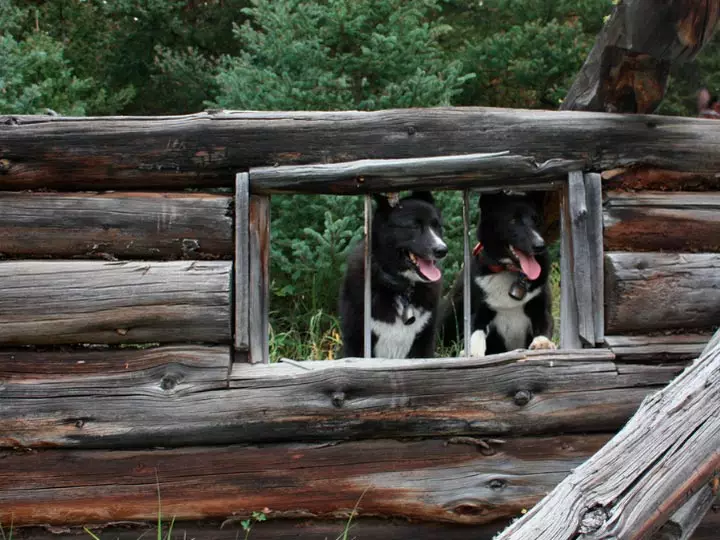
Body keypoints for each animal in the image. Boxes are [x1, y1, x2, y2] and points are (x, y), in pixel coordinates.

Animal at [338, 192, 444, 360]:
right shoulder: (356, 341)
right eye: (413, 226)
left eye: (437, 225)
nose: (442, 250)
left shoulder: (424, 341)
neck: (401, 288)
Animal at [438, 192, 556, 356]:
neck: (507, 270)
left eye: (536, 219)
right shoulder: (478, 312)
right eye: (513, 220)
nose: (540, 245)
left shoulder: (541, 308)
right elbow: (475, 333)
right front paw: (472, 352)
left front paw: (542, 343)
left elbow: (543, 326)